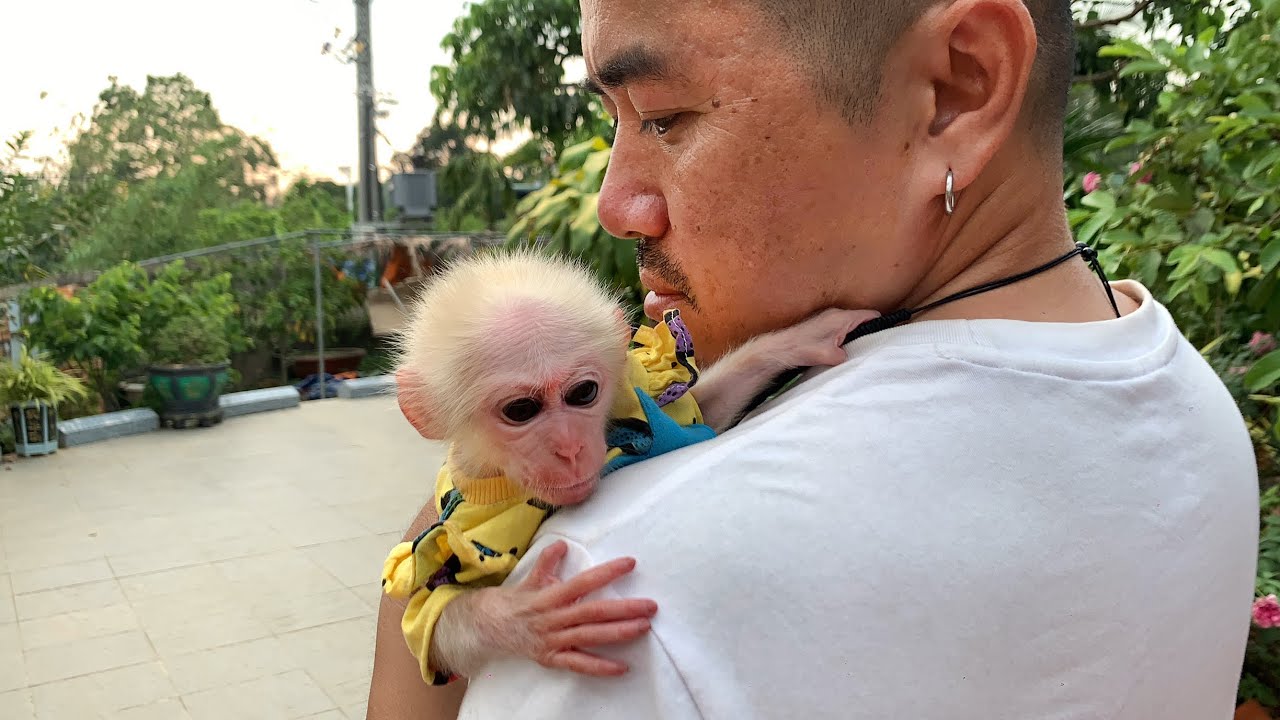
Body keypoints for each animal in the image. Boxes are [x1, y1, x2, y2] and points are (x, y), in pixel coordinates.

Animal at [381, 247, 870, 687]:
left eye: (583, 393)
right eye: (520, 410)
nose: (570, 447)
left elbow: (703, 412)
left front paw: (796, 340)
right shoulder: (463, 520)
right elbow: (429, 619)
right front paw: (529, 620)